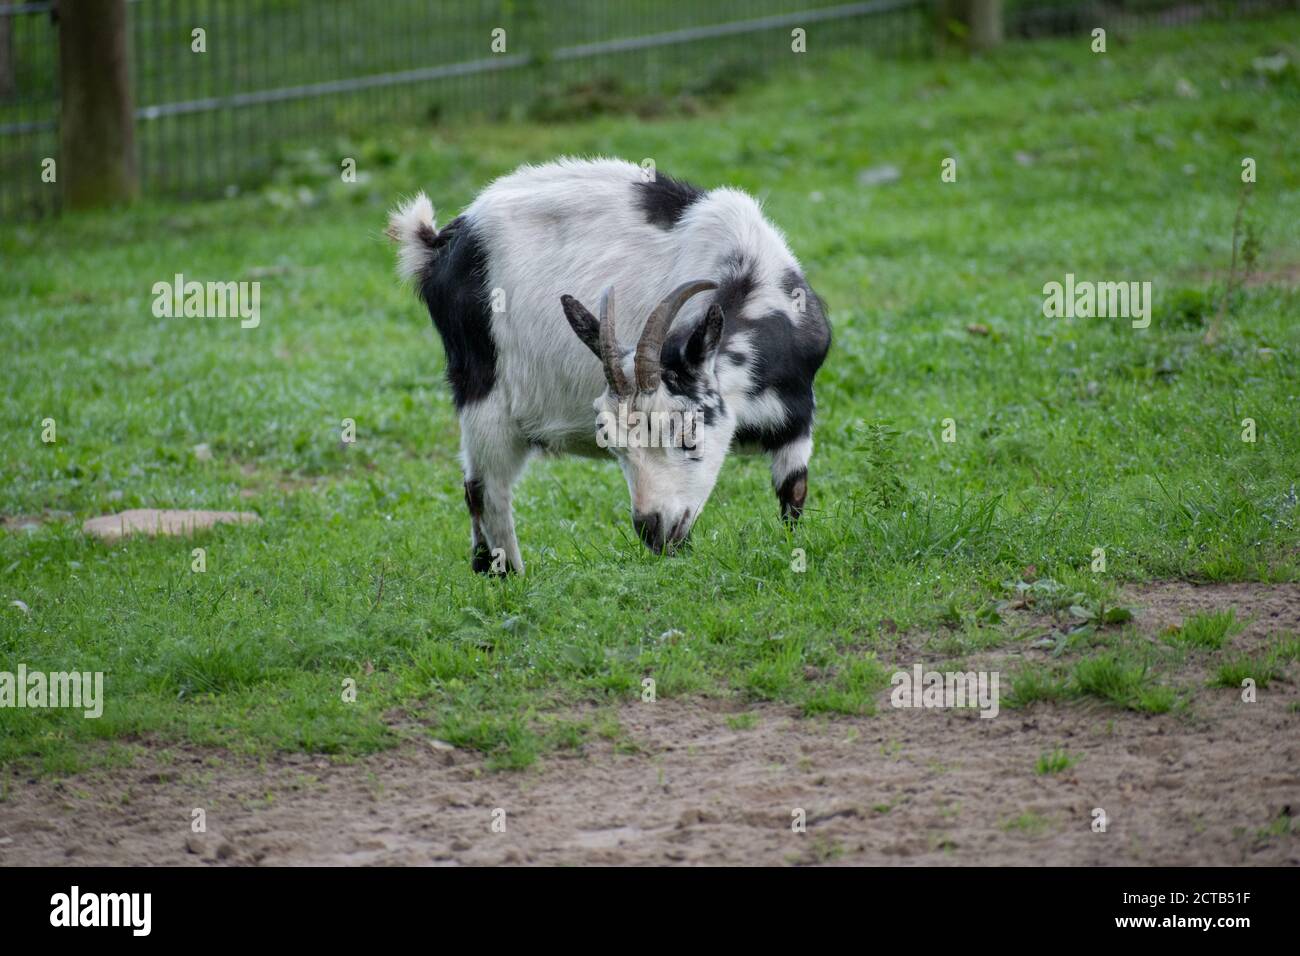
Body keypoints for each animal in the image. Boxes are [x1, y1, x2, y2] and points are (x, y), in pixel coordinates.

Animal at [388, 157, 830, 574]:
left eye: (689, 436)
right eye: (613, 445)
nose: (652, 530)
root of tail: (438, 248)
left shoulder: (798, 414)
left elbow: (793, 493)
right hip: (484, 389)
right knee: (486, 488)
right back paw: (508, 574)